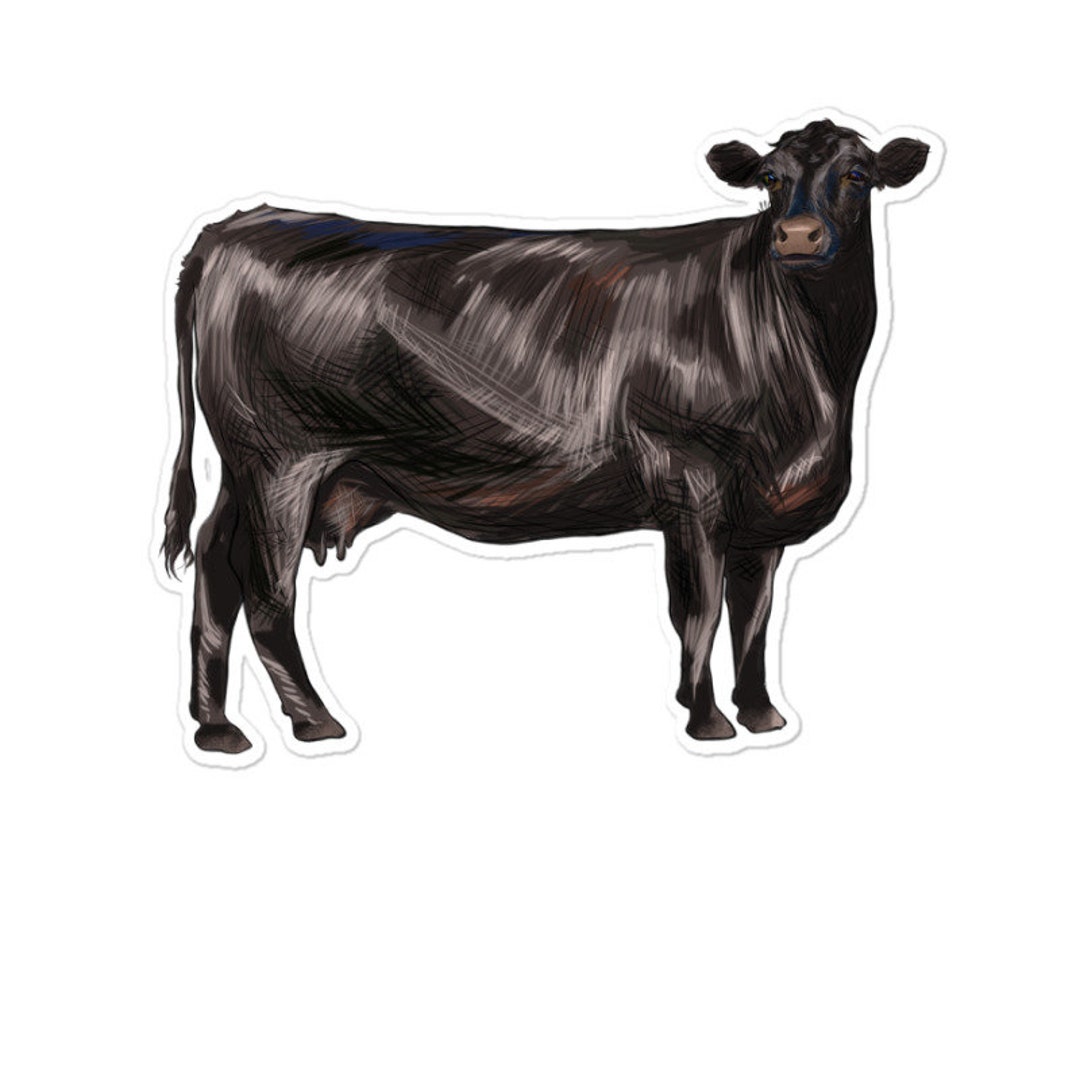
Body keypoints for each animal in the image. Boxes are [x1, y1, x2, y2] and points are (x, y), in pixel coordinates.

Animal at [161, 118, 931, 754]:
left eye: (857, 174)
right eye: (771, 178)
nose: (796, 236)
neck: (812, 381)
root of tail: (240, 225)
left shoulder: (764, 510)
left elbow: (754, 615)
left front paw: (763, 715)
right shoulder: (691, 481)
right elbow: (702, 609)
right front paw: (707, 719)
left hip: (246, 471)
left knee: (215, 568)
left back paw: (216, 728)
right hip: (282, 463)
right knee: (268, 594)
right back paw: (315, 721)